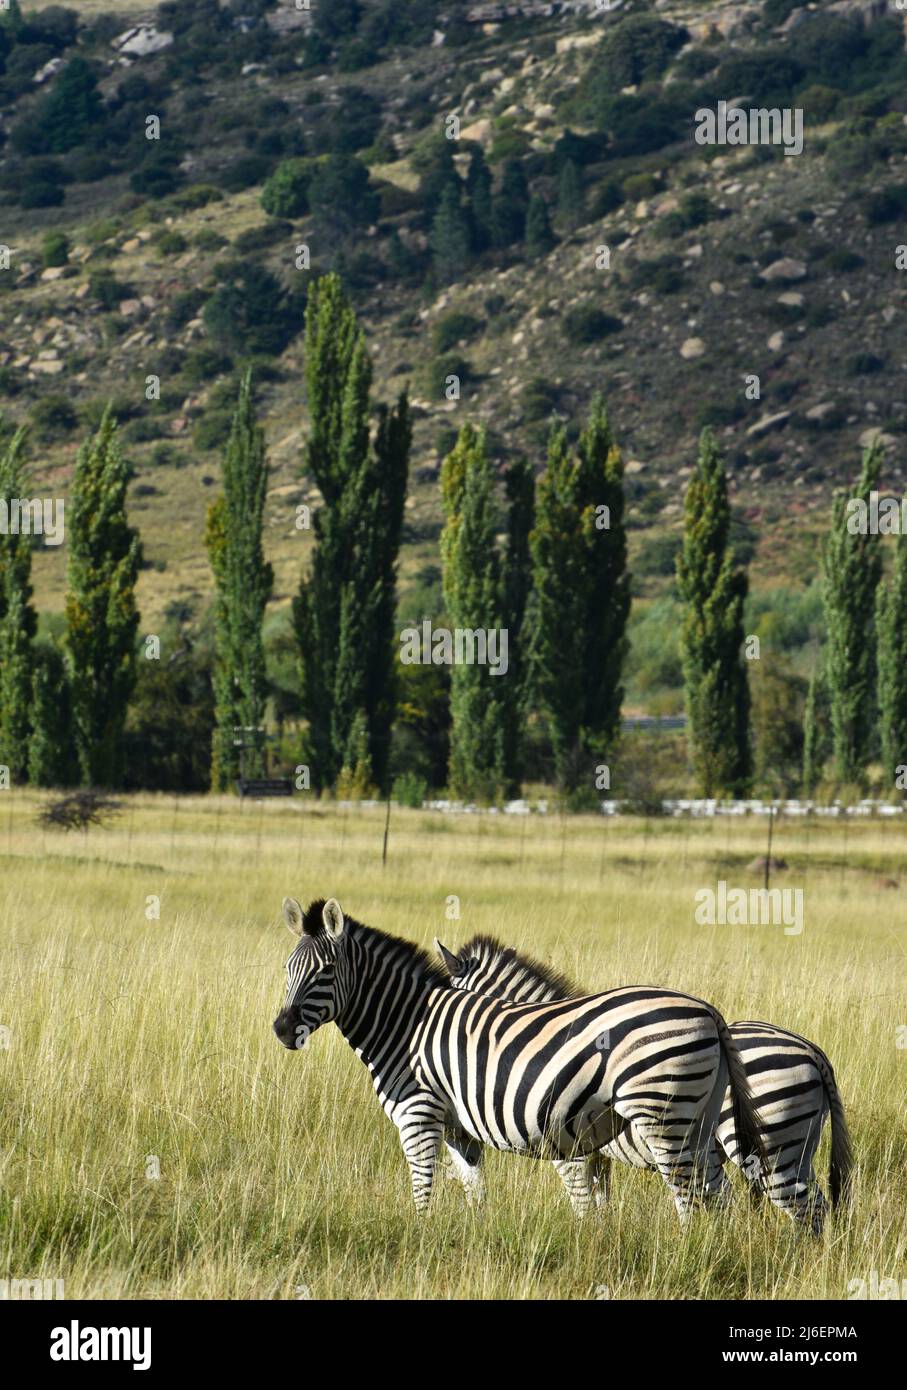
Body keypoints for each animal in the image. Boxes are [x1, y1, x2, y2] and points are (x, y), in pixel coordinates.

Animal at [272, 897, 767, 1218]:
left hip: (664, 1118)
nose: (281, 1029)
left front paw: (421, 1240)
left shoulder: (418, 1116)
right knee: (718, 1199)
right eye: (287, 970)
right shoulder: (459, 1129)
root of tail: (710, 1013)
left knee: (692, 1200)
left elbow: (422, 1192)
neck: (406, 1025)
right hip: (696, 1121)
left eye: (325, 972)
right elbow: (475, 1193)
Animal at [436, 934, 853, 1234]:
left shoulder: (571, 1148)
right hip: (799, 1144)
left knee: (806, 1208)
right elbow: (601, 1204)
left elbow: (581, 1203)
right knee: (814, 1203)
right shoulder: (598, 1155)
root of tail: (814, 1053)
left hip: (770, 1143)